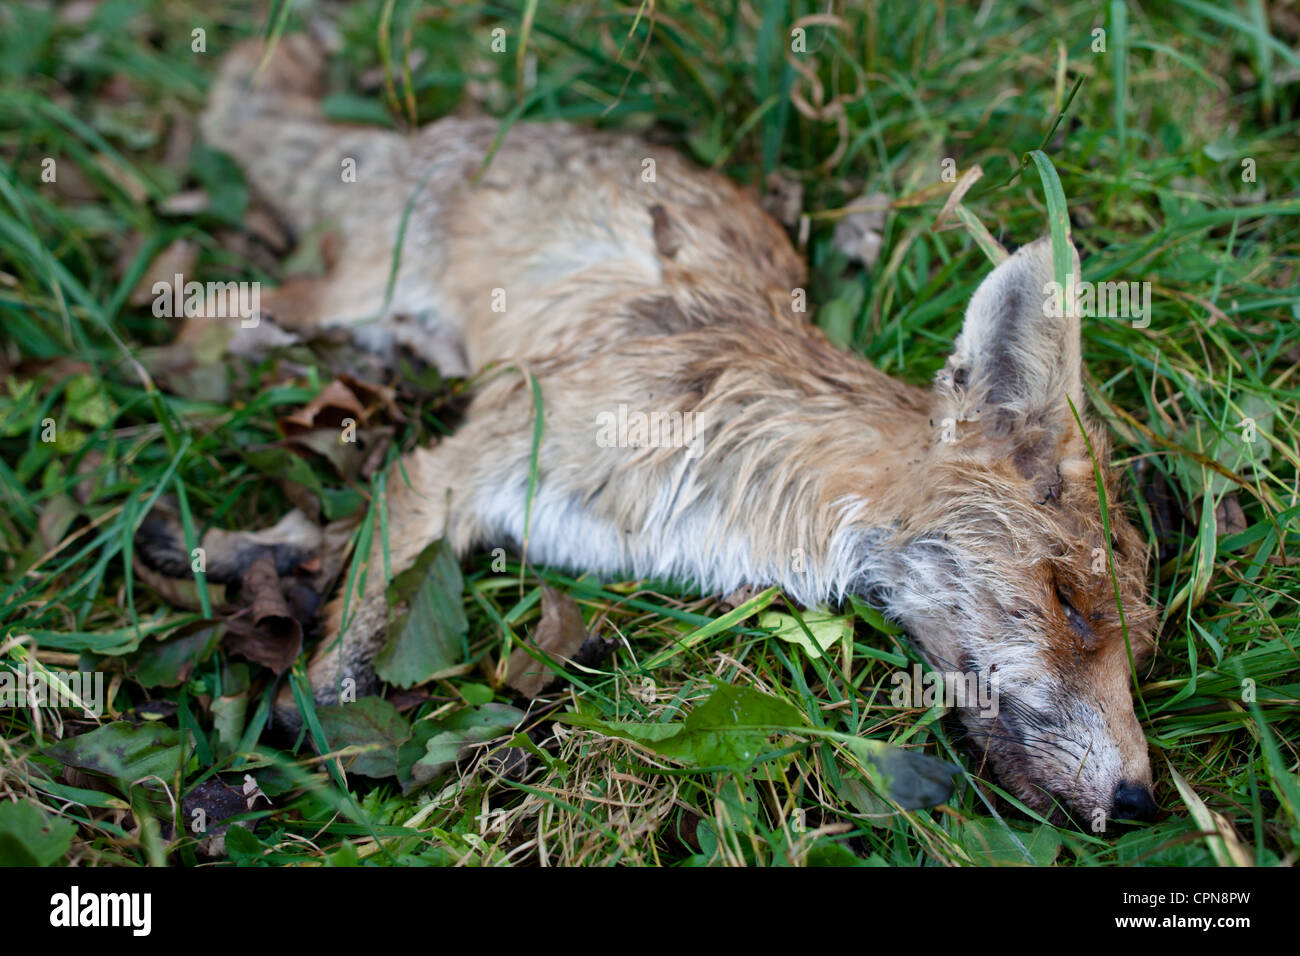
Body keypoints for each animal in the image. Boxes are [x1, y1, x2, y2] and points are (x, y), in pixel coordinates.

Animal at [175, 35, 1163, 828]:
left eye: (1139, 653)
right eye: (1070, 603)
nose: (1140, 802)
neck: (744, 487)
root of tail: (434, 132)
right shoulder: (464, 462)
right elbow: (372, 605)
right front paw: (322, 711)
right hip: (346, 299)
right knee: (224, 309)